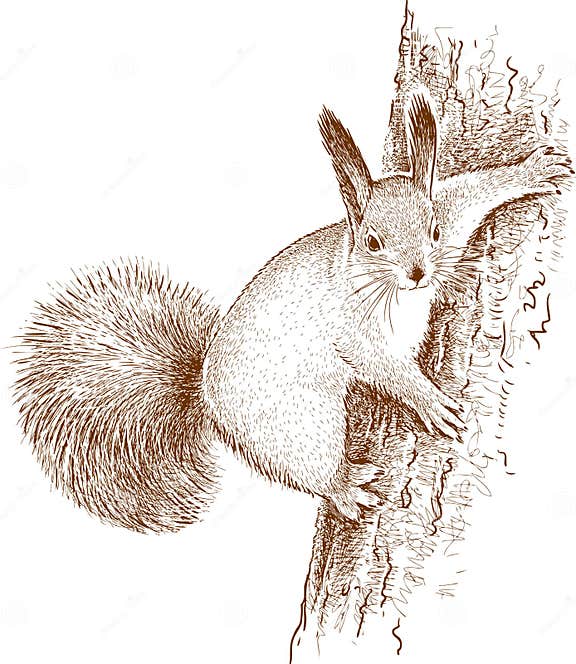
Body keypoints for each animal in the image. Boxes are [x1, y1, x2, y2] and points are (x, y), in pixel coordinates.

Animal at [13, 91, 571, 530]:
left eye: (432, 230)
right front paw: (432, 402)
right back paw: (346, 486)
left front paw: (534, 169)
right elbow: (384, 366)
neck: (387, 289)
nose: (419, 273)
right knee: (309, 472)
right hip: (300, 423)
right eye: (372, 242)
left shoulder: (452, 217)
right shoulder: (354, 330)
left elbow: (474, 191)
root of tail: (205, 399)